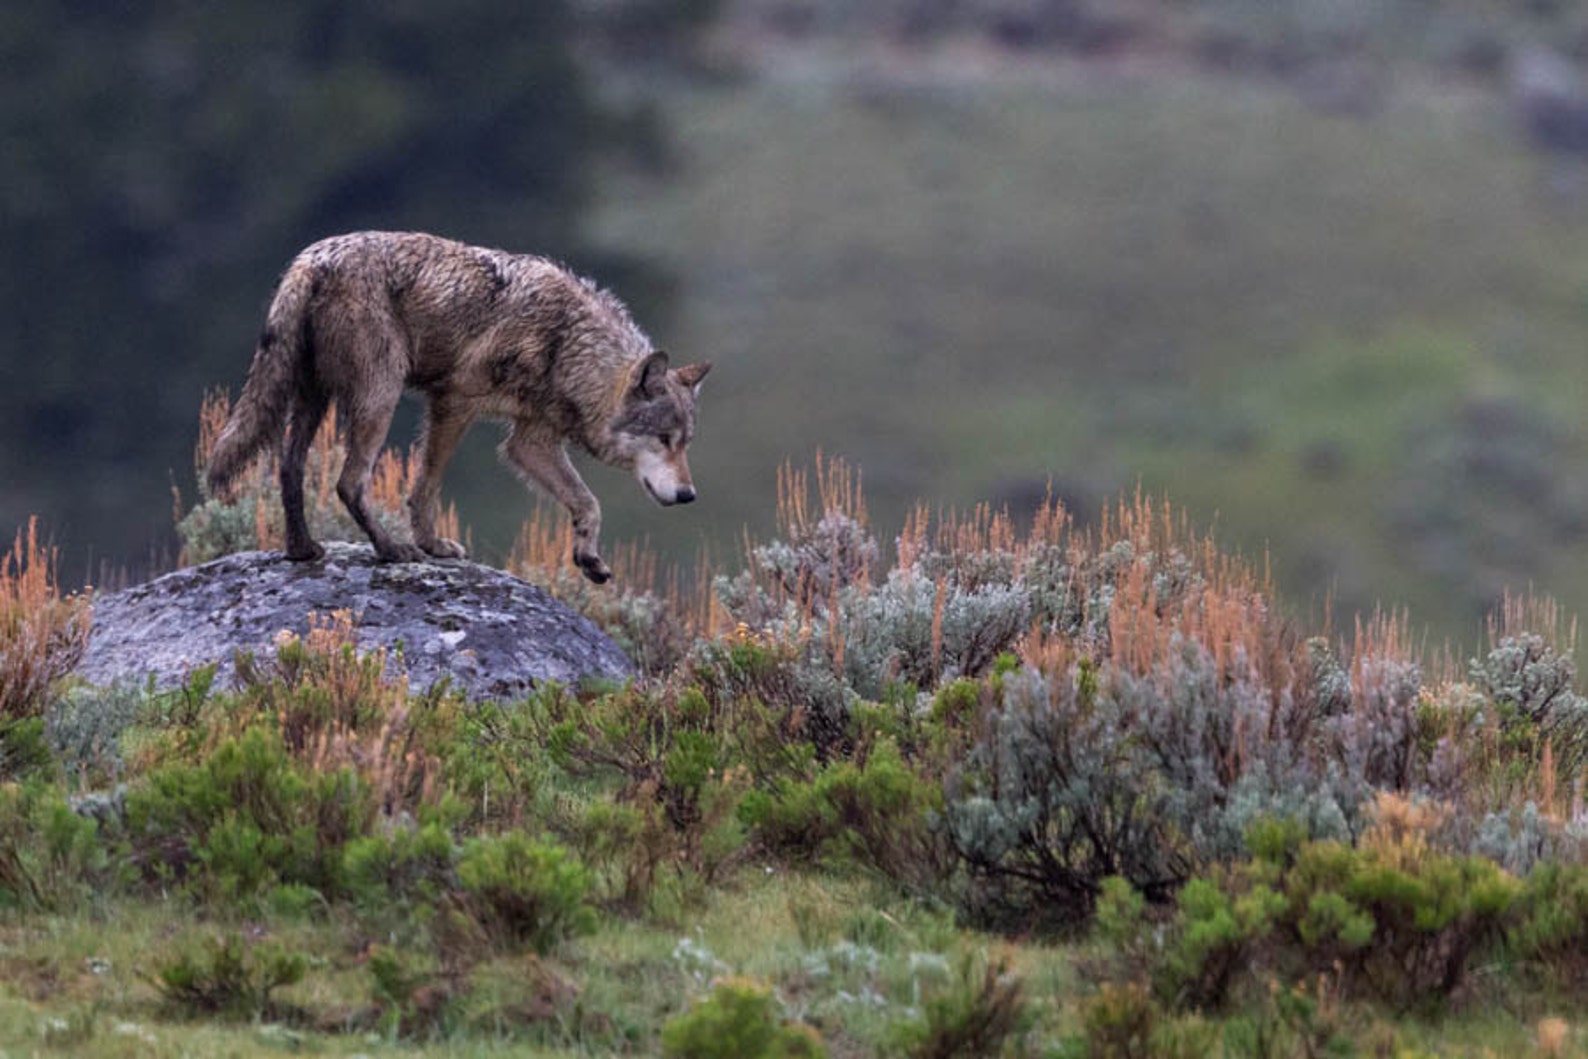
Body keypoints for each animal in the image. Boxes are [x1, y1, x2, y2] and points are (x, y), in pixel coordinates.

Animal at [205, 231, 709, 583]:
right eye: (664, 439)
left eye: (685, 443)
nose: (689, 496)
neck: (568, 342)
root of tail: (311, 261)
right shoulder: (455, 407)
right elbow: (425, 488)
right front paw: (428, 545)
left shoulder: (530, 442)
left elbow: (587, 502)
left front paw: (589, 559)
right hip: (378, 400)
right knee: (348, 482)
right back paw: (390, 550)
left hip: (314, 399)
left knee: (289, 467)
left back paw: (302, 550)